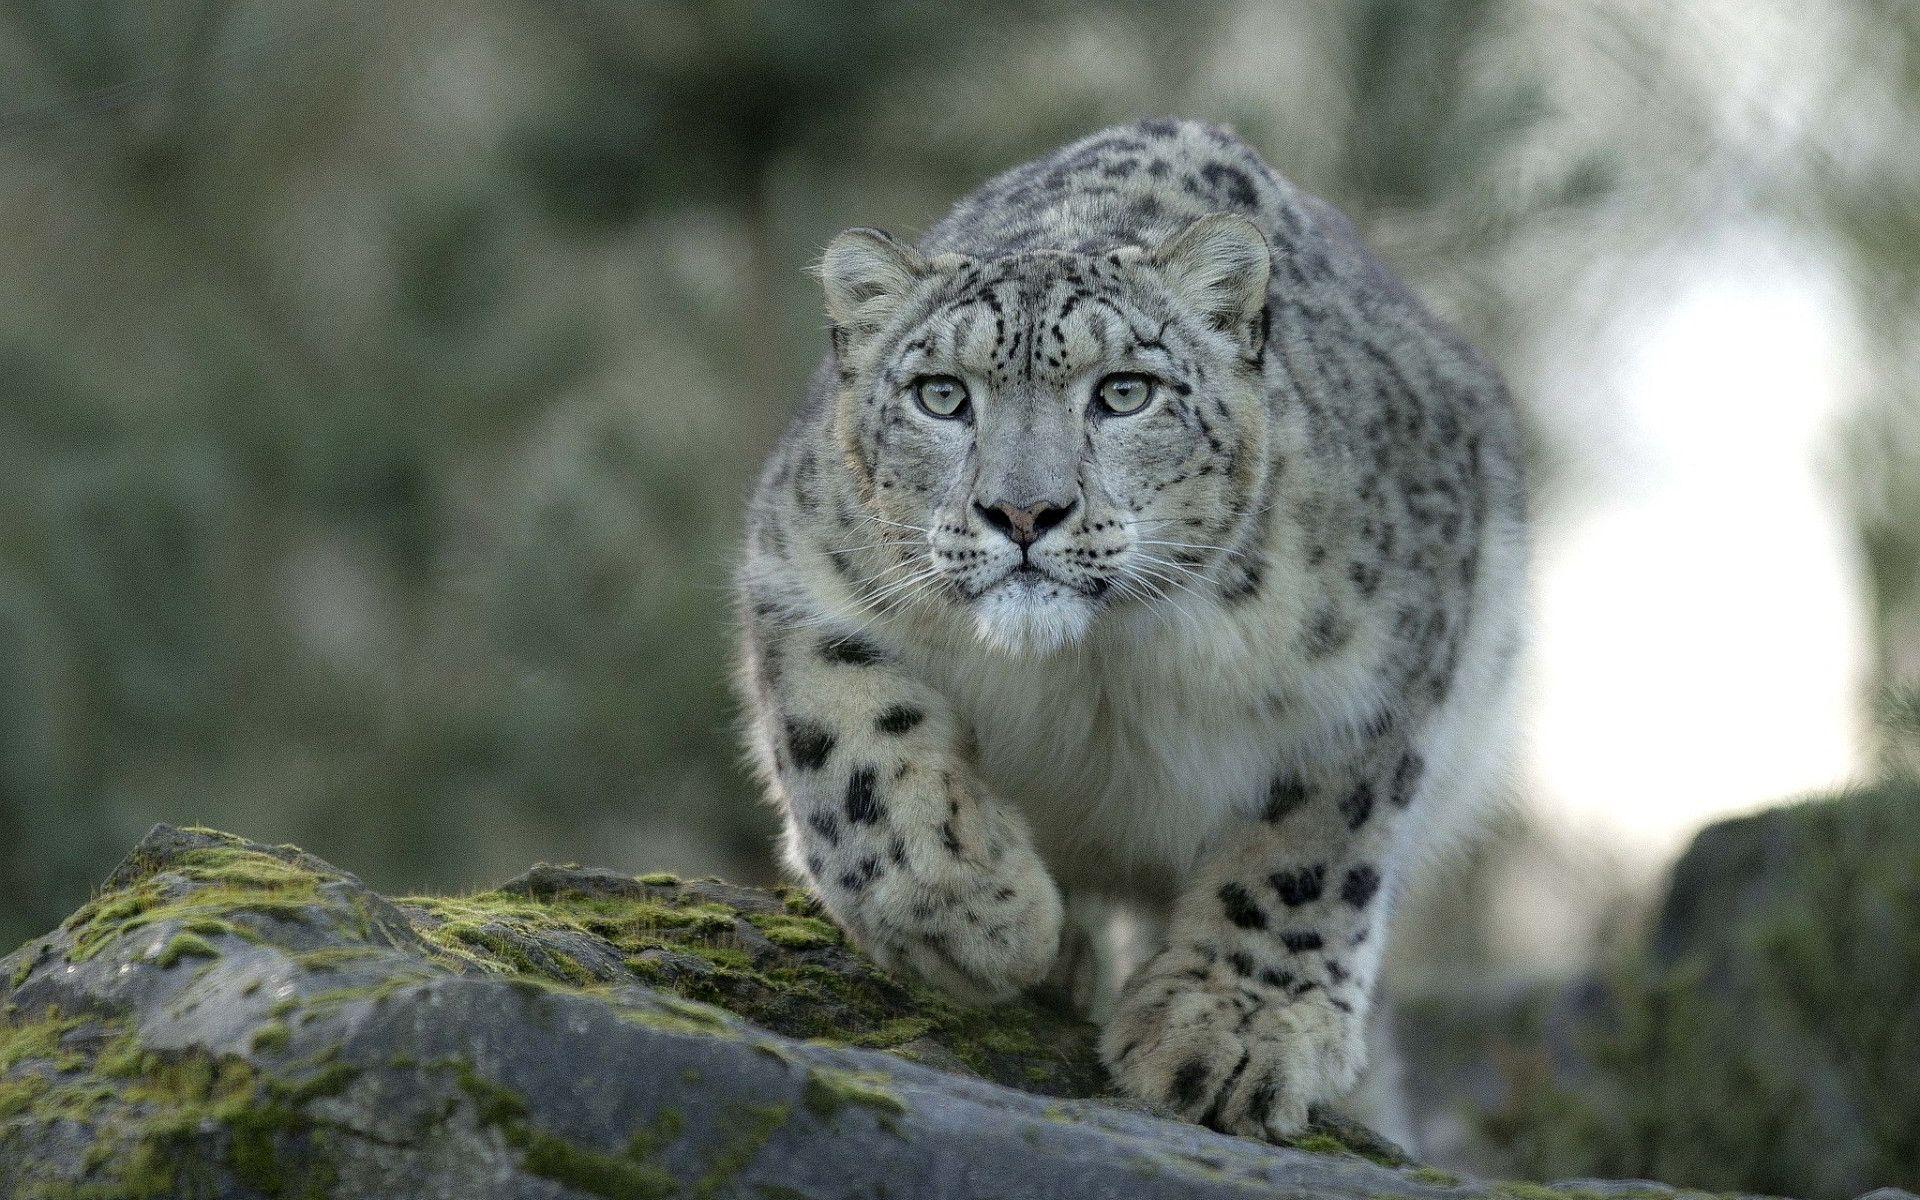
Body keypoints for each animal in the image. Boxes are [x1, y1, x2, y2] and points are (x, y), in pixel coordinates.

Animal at [734, 117, 1525, 1142]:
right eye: (942, 394)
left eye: (1124, 392)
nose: (1023, 512)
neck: (1097, 667)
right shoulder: (800, 574)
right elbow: (855, 749)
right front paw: (979, 915)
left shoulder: (1383, 674)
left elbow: (1310, 848)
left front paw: (1231, 1034)